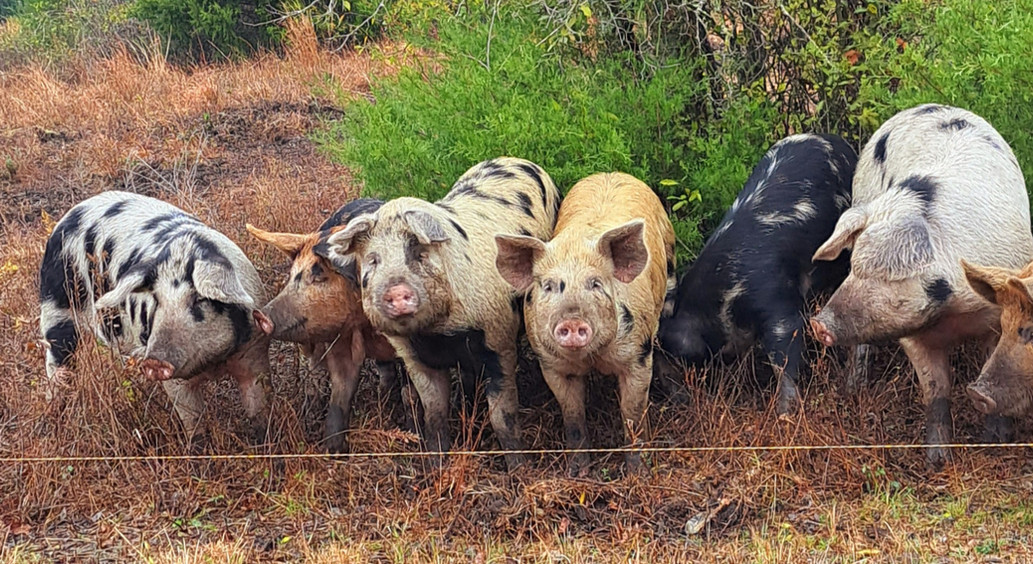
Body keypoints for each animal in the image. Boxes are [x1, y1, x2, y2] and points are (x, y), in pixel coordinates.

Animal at [39, 190, 273, 442]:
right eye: (157, 300)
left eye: (199, 299)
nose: (154, 360)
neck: (214, 363)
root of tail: (66, 219)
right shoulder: (175, 383)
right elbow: (193, 423)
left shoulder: (255, 354)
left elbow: (259, 410)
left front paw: (262, 441)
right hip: (56, 313)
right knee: (56, 366)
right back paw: (53, 419)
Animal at [246, 198, 413, 453]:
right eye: (292, 274)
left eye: (319, 275)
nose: (260, 315)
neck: (366, 325)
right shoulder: (339, 343)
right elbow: (340, 395)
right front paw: (332, 452)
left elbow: (413, 395)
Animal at [326, 157, 561, 470]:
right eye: (373, 260)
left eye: (419, 254)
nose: (396, 290)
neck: (439, 333)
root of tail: (515, 159)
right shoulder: (412, 356)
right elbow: (434, 414)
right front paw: (436, 468)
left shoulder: (499, 339)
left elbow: (503, 416)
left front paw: (519, 469)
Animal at [495, 172, 676, 475]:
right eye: (548, 286)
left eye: (595, 283)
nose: (572, 321)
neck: (593, 357)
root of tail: (610, 174)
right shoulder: (551, 365)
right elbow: (573, 417)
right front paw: (577, 472)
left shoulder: (638, 356)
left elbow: (632, 415)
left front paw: (638, 473)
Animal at [657, 133, 858, 415]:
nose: (678, 395)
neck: (725, 297)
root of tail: (838, 141)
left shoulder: (773, 296)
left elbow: (785, 350)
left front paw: (785, 412)